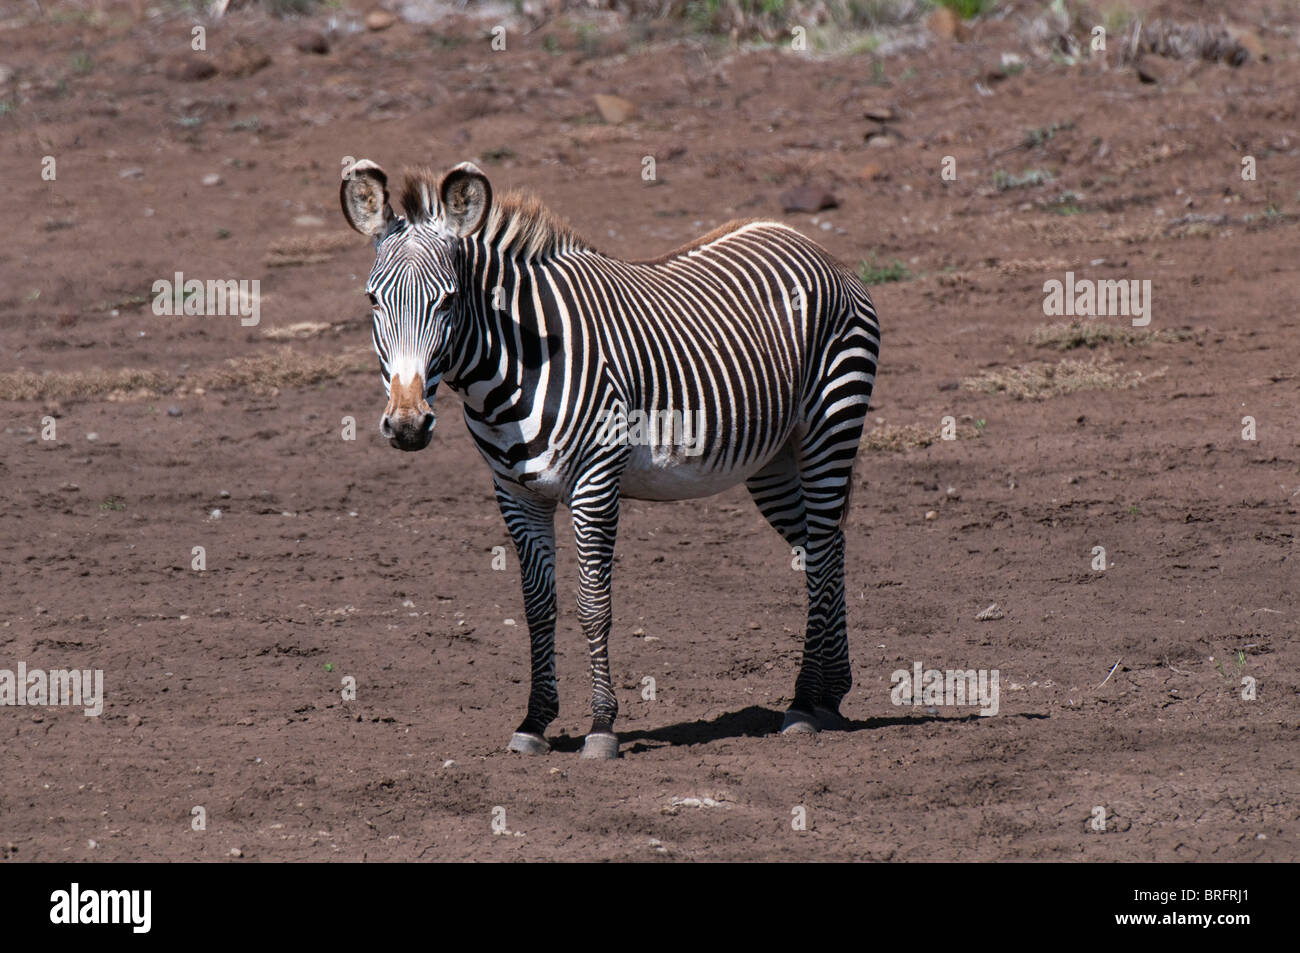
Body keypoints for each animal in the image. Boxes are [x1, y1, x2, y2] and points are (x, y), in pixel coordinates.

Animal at [340, 159, 880, 759]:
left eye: (449, 301)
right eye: (372, 301)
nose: (408, 425)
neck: (512, 367)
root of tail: (810, 243)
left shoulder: (596, 481)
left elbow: (593, 605)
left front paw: (601, 725)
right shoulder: (517, 493)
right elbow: (537, 608)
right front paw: (534, 721)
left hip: (830, 424)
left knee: (825, 551)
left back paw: (807, 702)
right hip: (773, 462)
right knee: (824, 548)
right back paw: (828, 694)